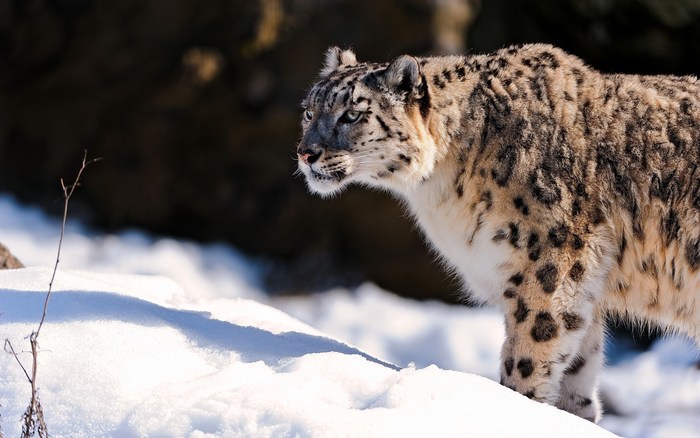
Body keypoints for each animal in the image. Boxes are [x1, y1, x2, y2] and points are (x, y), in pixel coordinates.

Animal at [296, 43, 700, 422]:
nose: (305, 153)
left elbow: (527, 358)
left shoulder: (548, 270)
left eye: (352, 114)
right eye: (309, 111)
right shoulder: (583, 295)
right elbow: (577, 374)